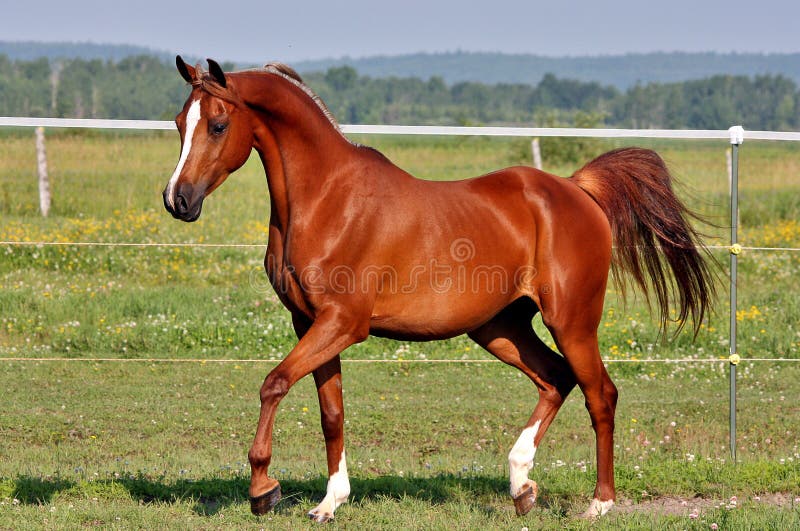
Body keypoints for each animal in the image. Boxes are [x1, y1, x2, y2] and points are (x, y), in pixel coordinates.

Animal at [162, 56, 714, 522]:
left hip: (572, 322)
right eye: (179, 123)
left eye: (218, 124)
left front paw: (263, 490)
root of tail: (577, 190)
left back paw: (599, 504)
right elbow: (331, 413)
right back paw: (521, 486)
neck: (327, 199)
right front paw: (329, 503)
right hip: (500, 328)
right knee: (555, 378)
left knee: (600, 394)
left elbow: (273, 383)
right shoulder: (311, 323)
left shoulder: (343, 323)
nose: (177, 200)